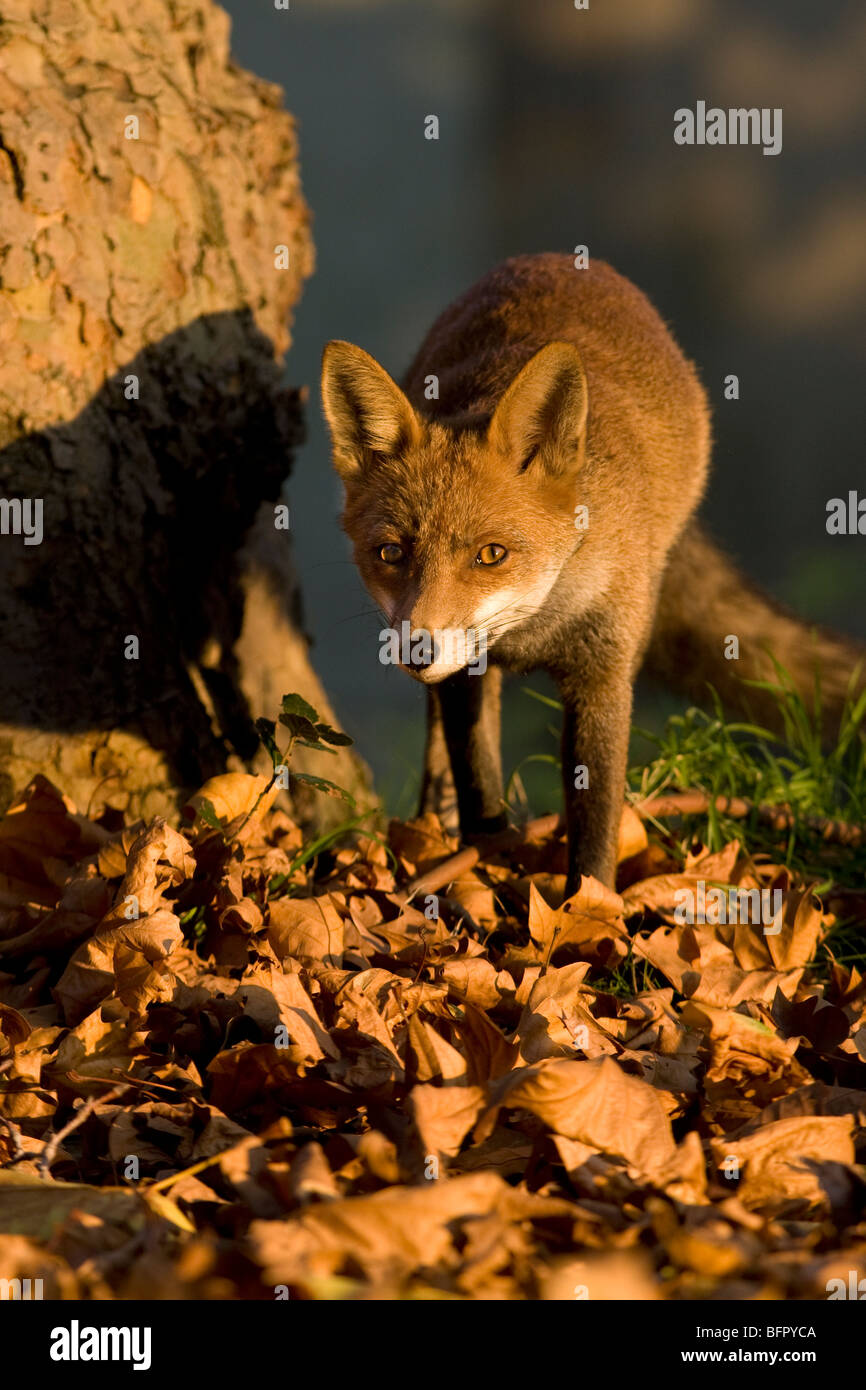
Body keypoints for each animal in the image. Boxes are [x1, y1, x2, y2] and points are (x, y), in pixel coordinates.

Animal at [321, 253, 864, 890]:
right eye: (390, 554)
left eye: (491, 554)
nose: (418, 650)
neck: (531, 629)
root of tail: (558, 259)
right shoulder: (465, 672)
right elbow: (476, 778)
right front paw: (485, 862)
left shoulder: (603, 672)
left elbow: (597, 814)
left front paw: (591, 904)